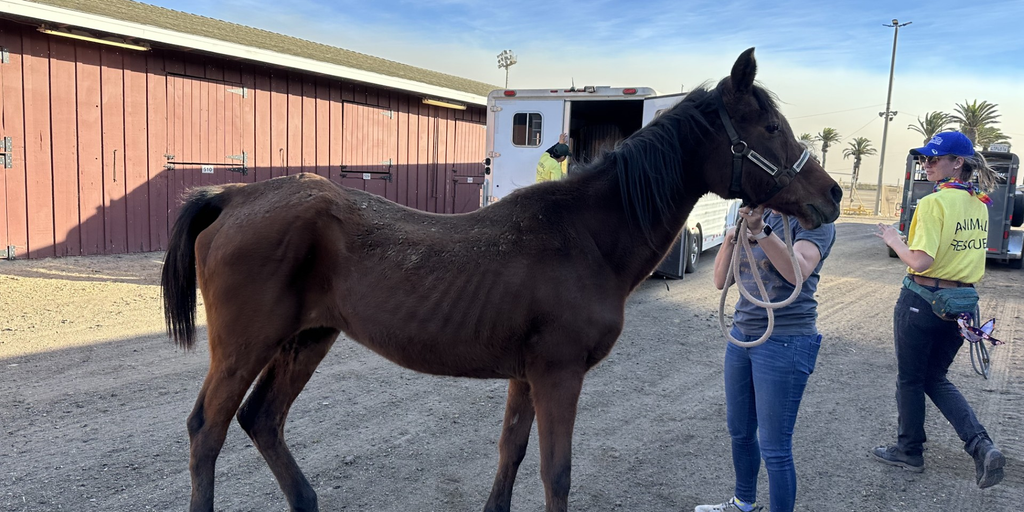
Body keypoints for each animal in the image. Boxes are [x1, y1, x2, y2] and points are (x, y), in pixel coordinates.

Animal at [161, 48, 842, 512]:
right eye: (771, 129)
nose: (832, 196)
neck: (584, 236)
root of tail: (233, 196)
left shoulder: (526, 376)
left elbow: (510, 454)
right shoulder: (559, 375)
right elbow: (554, 472)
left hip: (307, 339)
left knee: (262, 421)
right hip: (246, 347)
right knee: (208, 430)